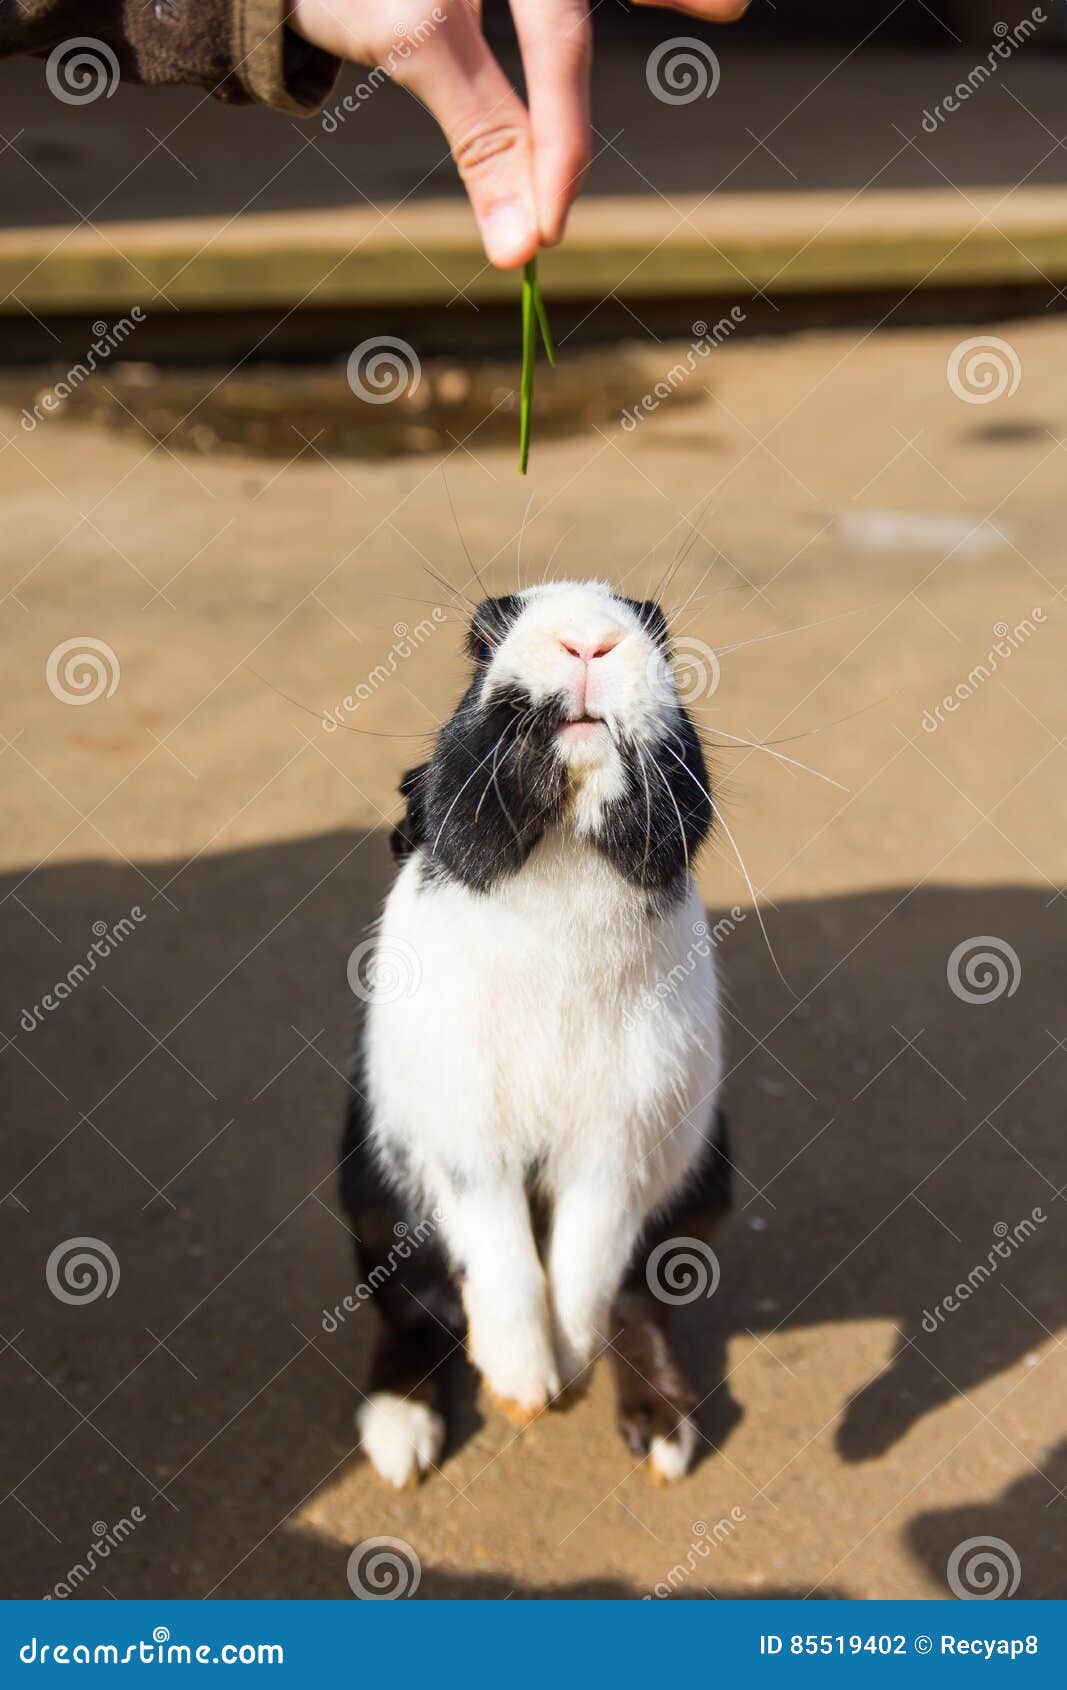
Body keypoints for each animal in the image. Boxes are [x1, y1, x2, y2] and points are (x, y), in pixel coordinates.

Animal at [340, 579, 732, 1489]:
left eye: (656, 627)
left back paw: (661, 1433)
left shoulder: (619, 1148)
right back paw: (400, 1437)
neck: (562, 877)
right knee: (410, 1311)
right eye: (479, 639)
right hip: (370, 1205)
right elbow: (507, 1265)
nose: (587, 640)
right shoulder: (464, 1149)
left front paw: (568, 1368)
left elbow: (584, 1266)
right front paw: (523, 1385)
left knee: (640, 1302)